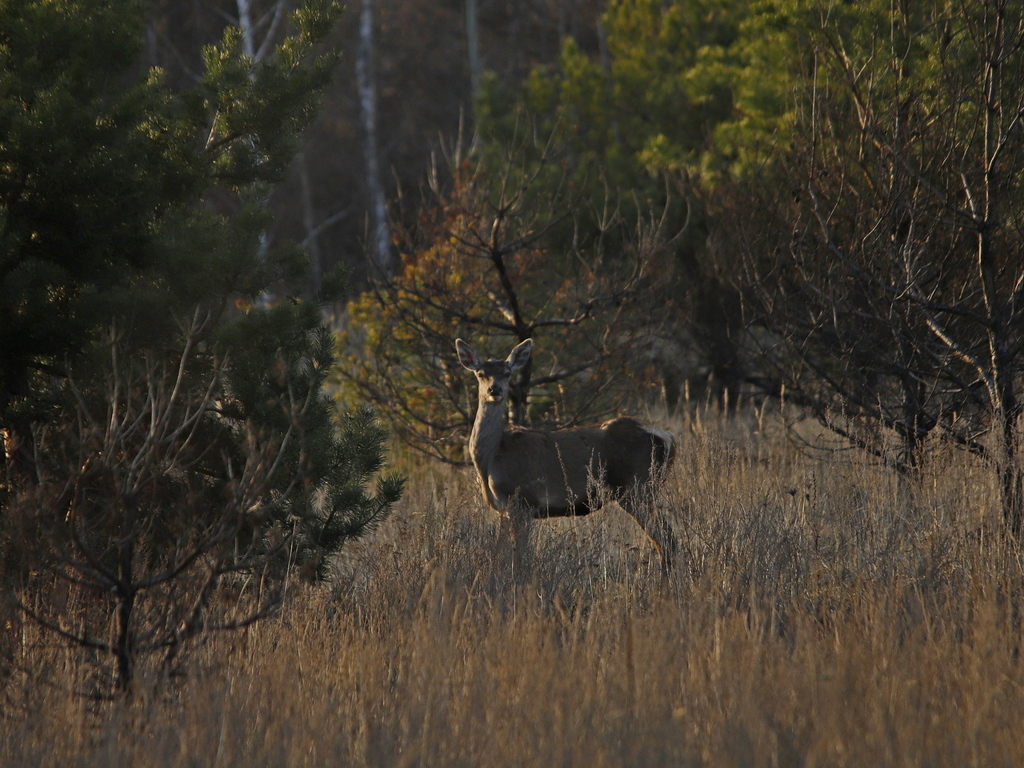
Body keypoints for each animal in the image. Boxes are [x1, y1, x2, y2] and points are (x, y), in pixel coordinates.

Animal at [456, 337, 677, 571]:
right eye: (481, 373)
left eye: (507, 373)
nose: (494, 389)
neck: (492, 457)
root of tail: (669, 438)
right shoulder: (505, 509)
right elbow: (500, 554)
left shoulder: (523, 501)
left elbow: (518, 556)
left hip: (638, 488)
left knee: (667, 540)